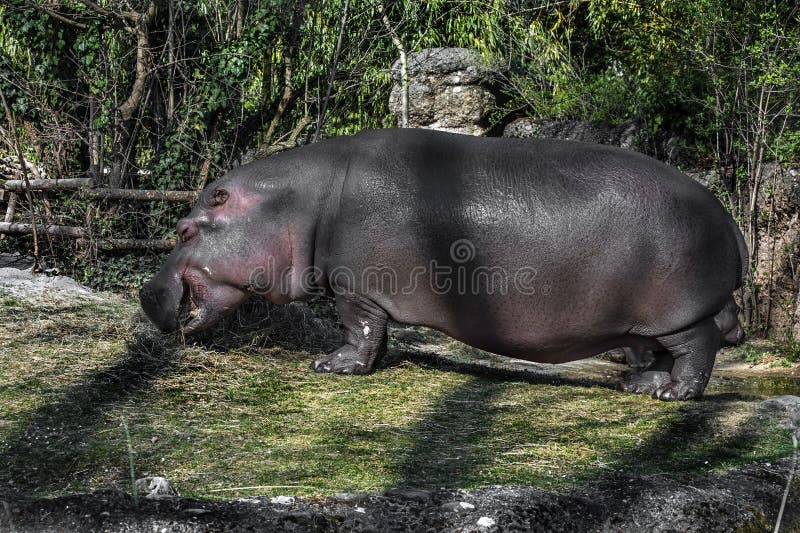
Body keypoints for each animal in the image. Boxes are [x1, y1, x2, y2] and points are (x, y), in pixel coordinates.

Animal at [140, 128, 748, 401]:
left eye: (184, 229)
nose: (146, 294)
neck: (299, 203)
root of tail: (728, 218)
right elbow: (378, 334)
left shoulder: (355, 287)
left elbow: (358, 331)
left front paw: (329, 366)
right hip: (642, 322)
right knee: (658, 352)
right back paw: (638, 386)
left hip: (679, 311)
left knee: (697, 348)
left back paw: (672, 395)